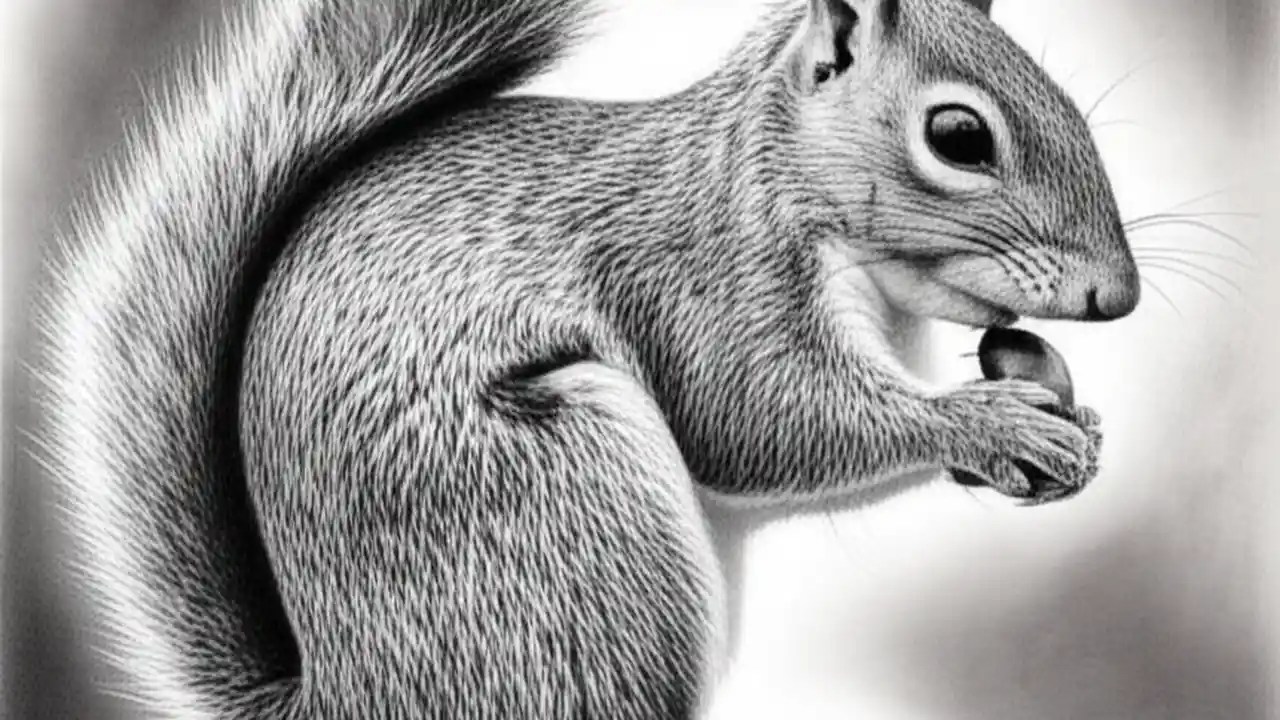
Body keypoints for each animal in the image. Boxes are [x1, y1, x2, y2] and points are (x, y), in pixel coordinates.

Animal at [38, 0, 1140, 717]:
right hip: (570, 519)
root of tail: (344, 695)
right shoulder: (702, 275)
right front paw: (986, 420)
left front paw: (1065, 429)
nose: (1116, 297)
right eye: (957, 135)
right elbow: (760, 425)